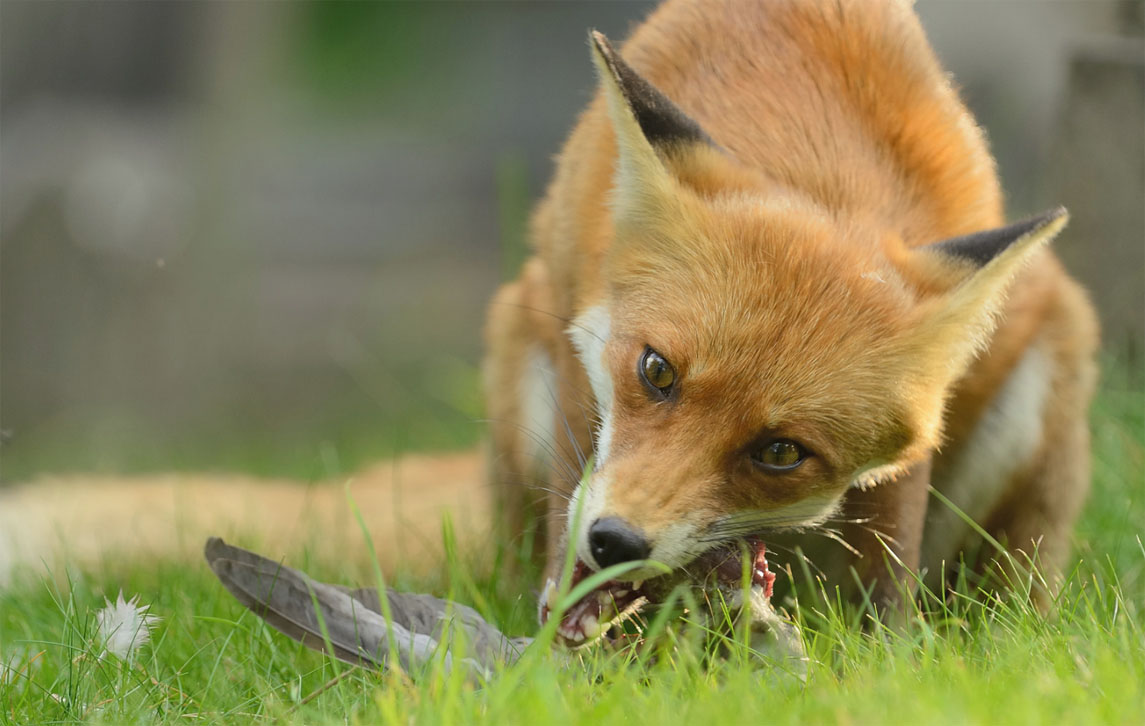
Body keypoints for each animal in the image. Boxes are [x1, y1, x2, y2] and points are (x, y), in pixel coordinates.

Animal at [483, 1, 1099, 645]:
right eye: (657, 371)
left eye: (781, 452)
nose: (616, 542)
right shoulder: (577, 340)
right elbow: (568, 505)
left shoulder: (920, 428)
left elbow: (889, 569)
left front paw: (890, 658)